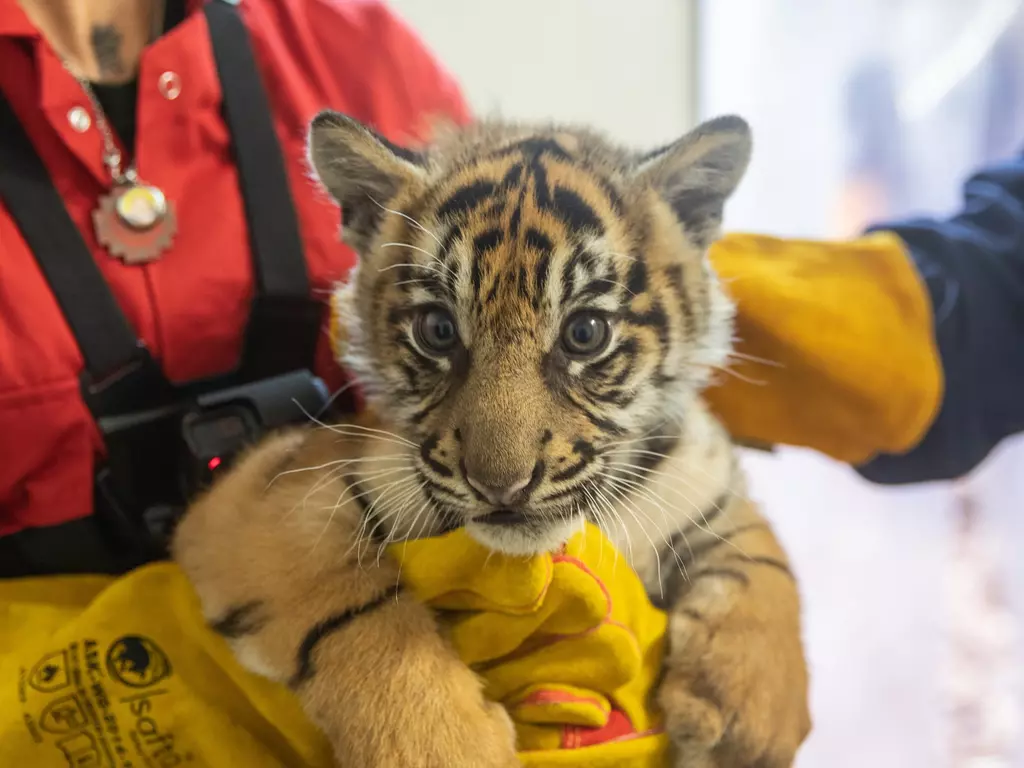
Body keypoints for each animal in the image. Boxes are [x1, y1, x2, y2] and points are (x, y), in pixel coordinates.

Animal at [172, 110, 811, 767]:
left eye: (585, 332)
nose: (501, 484)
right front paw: (442, 747)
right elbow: (353, 608)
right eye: (437, 330)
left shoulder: (704, 476)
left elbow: (761, 561)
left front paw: (744, 721)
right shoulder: (269, 488)